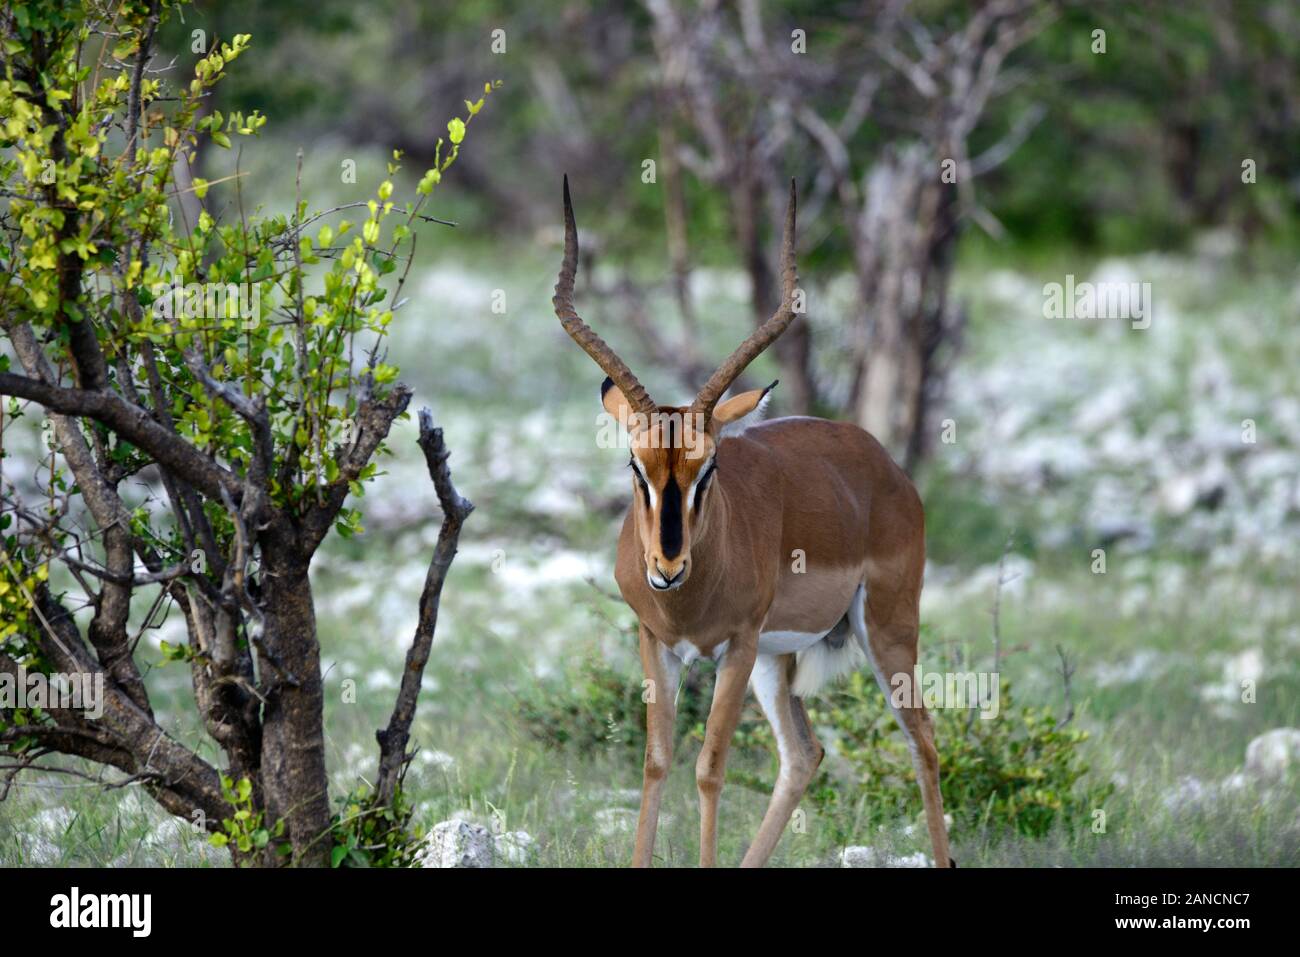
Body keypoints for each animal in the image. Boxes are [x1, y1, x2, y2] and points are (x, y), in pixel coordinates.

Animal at [552, 176, 952, 868]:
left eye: (709, 466)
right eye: (635, 465)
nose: (667, 567)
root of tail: (882, 461)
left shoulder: (734, 646)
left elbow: (708, 768)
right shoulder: (657, 643)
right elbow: (657, 763)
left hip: (885, 628)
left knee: (922, 741)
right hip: (776, 660)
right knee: (804, 755)